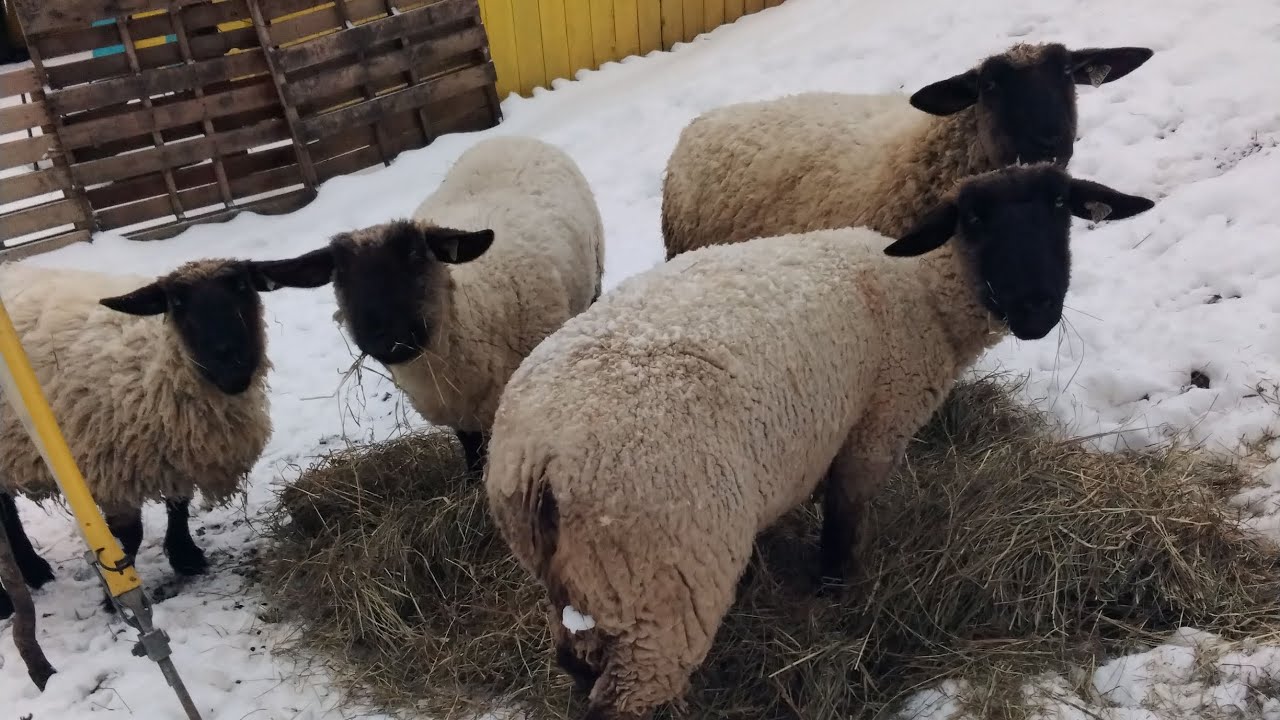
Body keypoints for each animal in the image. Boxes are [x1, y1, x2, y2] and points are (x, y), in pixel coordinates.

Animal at [0, 257, 303, 612]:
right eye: (177, 302)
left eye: (243, 286)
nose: (233, 365)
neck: (156, 368)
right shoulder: (109, 468)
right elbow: (129, 535)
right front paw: (117, 594)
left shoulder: (178, 451)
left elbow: (179, 504)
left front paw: (186, 556)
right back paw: (17, 588)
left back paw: (32, 571)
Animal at [253, 135, 605, 472]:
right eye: (340, 277)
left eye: (415, 257)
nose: (389, 339)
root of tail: (509, 138)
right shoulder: (461, 417)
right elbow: (473, 455)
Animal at [485, 163, 1156, 720]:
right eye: (974, 220)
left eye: (1062, 206)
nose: (1037, 310)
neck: (923, 291)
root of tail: (538, 455)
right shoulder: (873, 427)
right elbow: (842, 515)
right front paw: (836, 588)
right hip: (664, 580)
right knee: (620, 697)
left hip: (583, 578)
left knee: (572, 660)